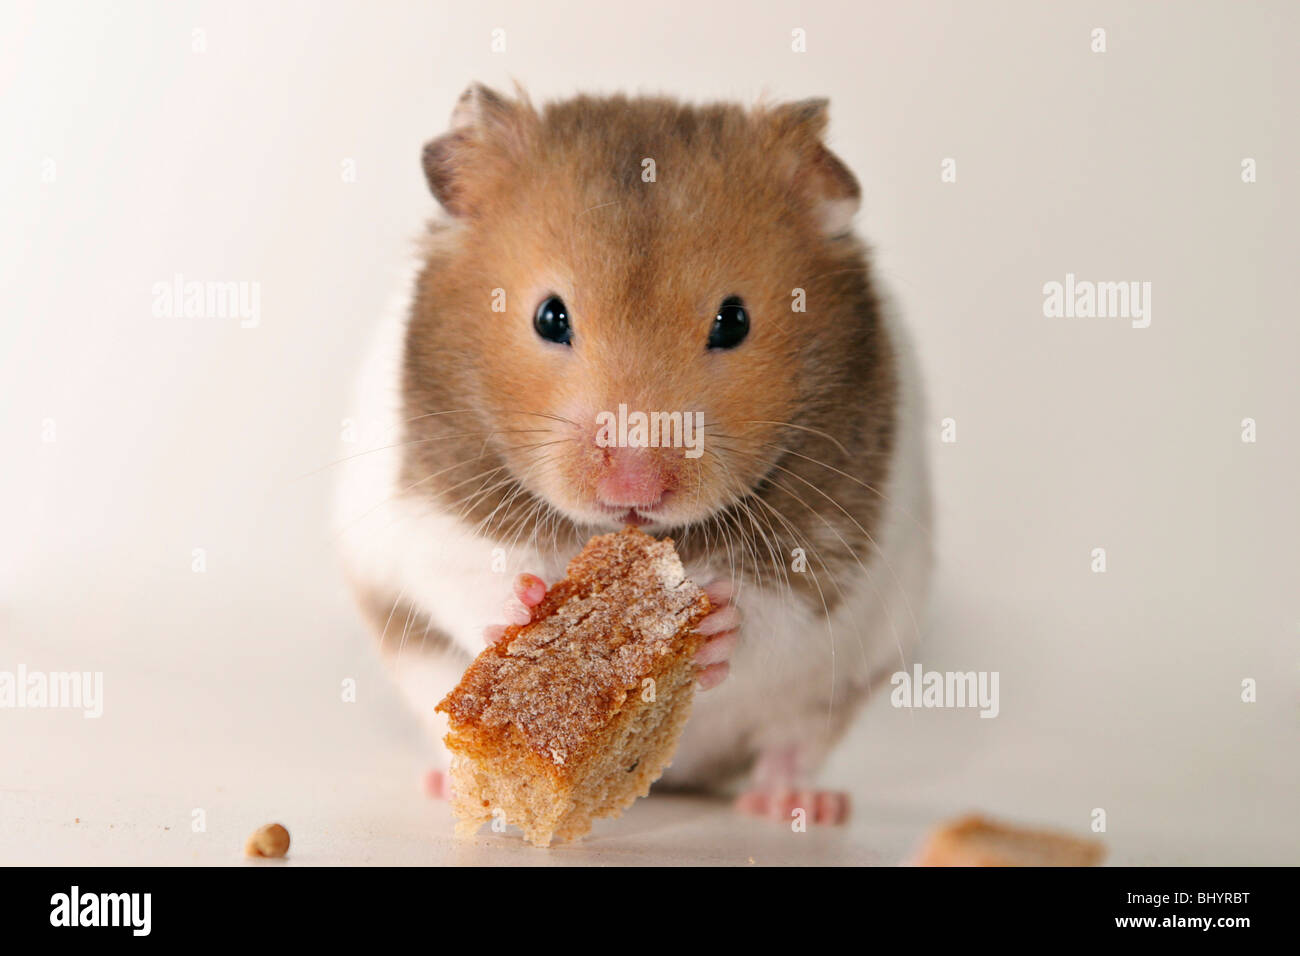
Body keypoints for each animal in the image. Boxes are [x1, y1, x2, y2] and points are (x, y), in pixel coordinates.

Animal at [335, 84, 932, 823]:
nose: (634, 489)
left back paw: (796, 805)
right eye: (550, 317)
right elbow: (469, 572)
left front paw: (715, 626)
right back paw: (447, 785)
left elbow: (773, 616)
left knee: (788, 744)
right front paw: (523, 610)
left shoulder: (831, 551)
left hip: (842, 685)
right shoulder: (434, 511)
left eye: (733, 320)